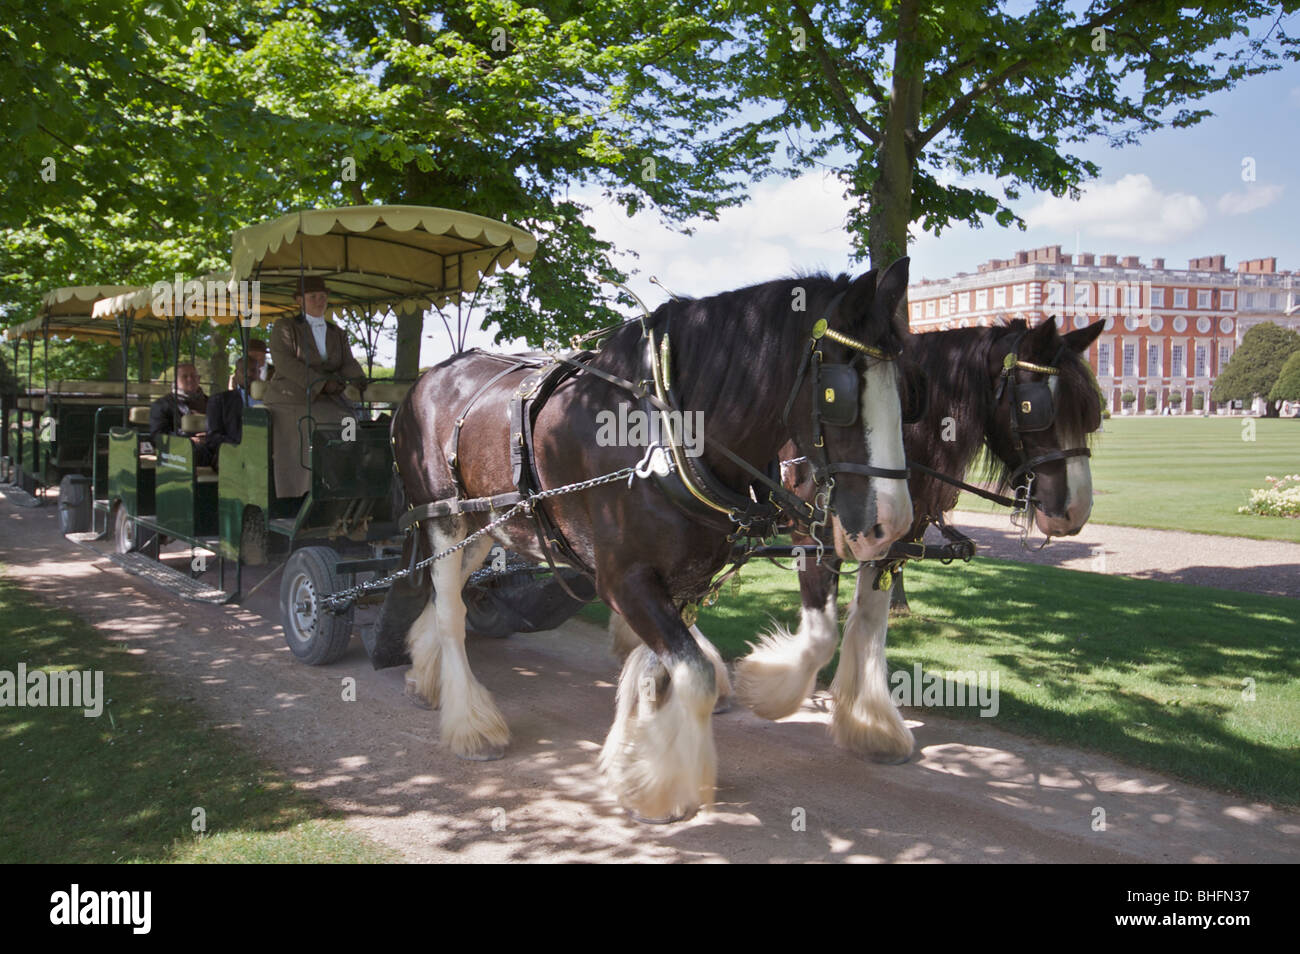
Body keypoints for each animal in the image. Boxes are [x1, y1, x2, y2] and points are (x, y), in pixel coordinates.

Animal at [385, 262, 917, 822]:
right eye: (839, 393)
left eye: (907, 391)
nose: (894, 524)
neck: (664, 431)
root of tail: (426, 378)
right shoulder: (623, 579)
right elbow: (695, 674)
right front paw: (661, 787)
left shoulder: (684, 577)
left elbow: (660, 672)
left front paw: (637, 761)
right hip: (442, 517)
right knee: (451, 611)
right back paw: (470, 723)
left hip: (485, 525)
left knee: (448, 592)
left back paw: (427, 677)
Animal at [614, 315, 1106, 764]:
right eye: (1033, 407)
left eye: (1091, 414)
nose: (1076, 510)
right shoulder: (811, 539)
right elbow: (821, 637)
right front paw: (769, 689)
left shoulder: (888, 550)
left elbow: (869, 624)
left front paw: (872, 725)